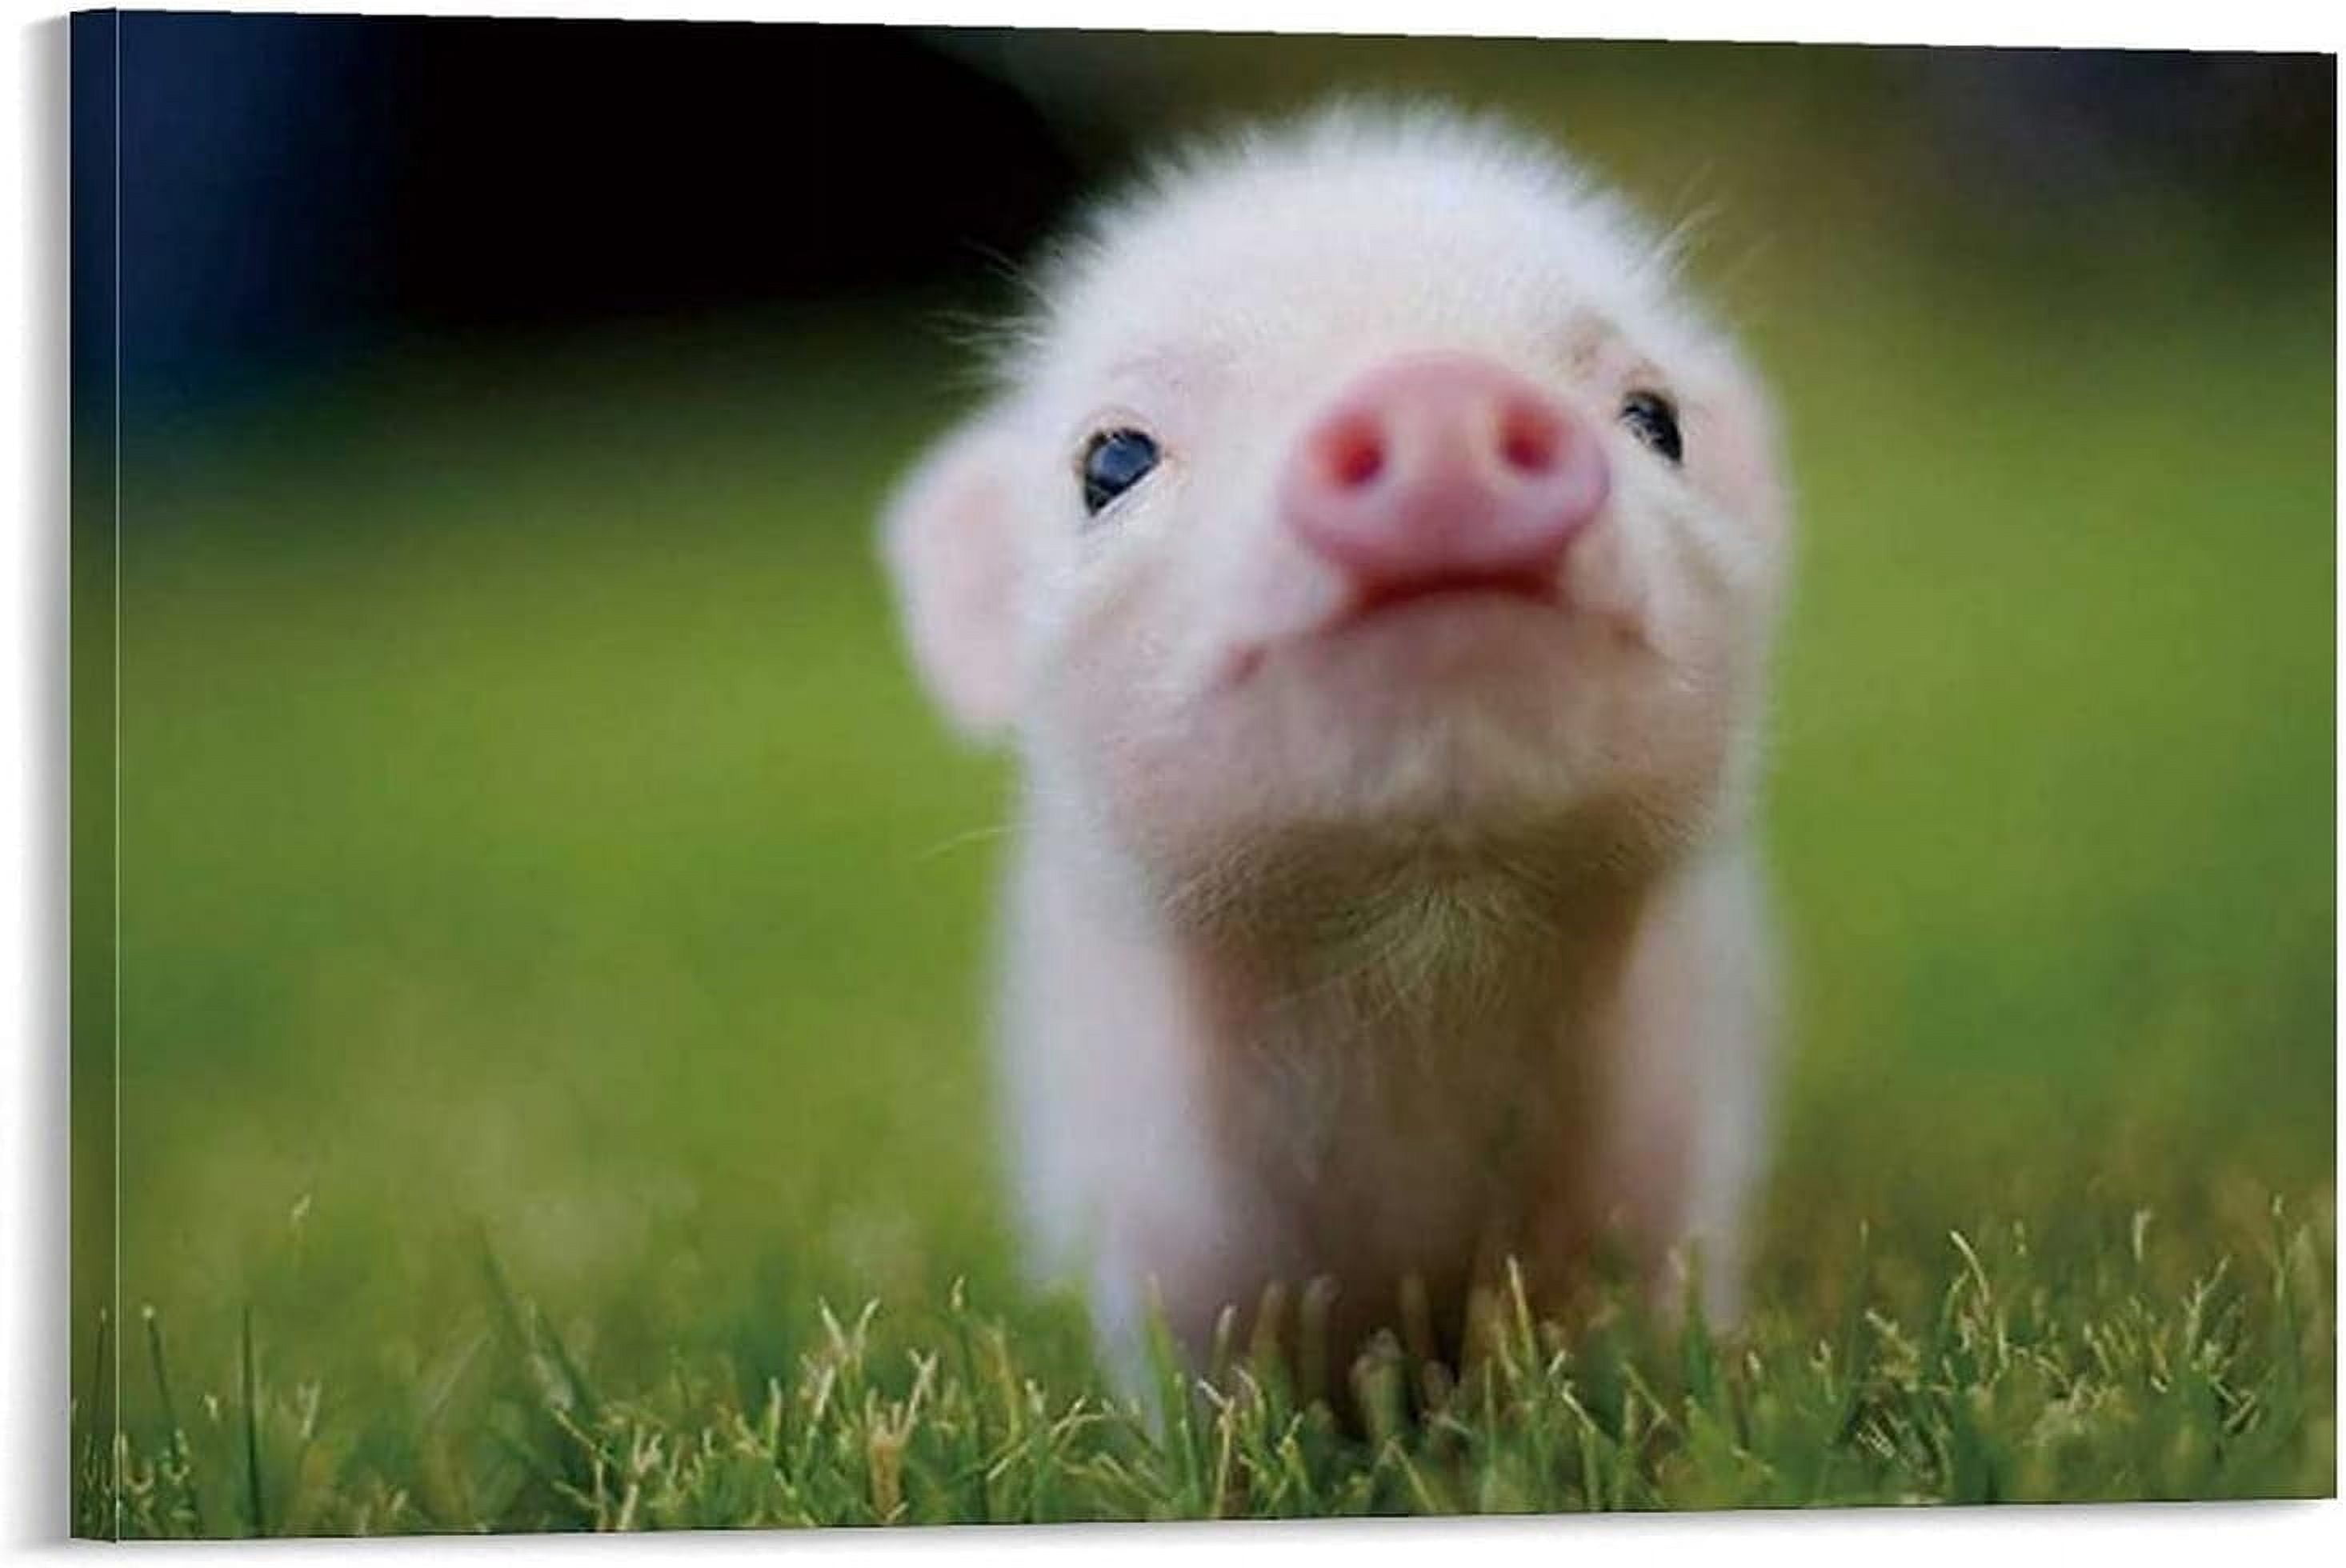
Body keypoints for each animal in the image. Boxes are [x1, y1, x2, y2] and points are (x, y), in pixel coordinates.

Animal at [880, 105, 1791, 1388]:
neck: (1421, 970)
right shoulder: (1147, 1203)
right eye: (1111, 461)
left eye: (1655, 419)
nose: (1436, 389)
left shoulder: (1685, 1126)